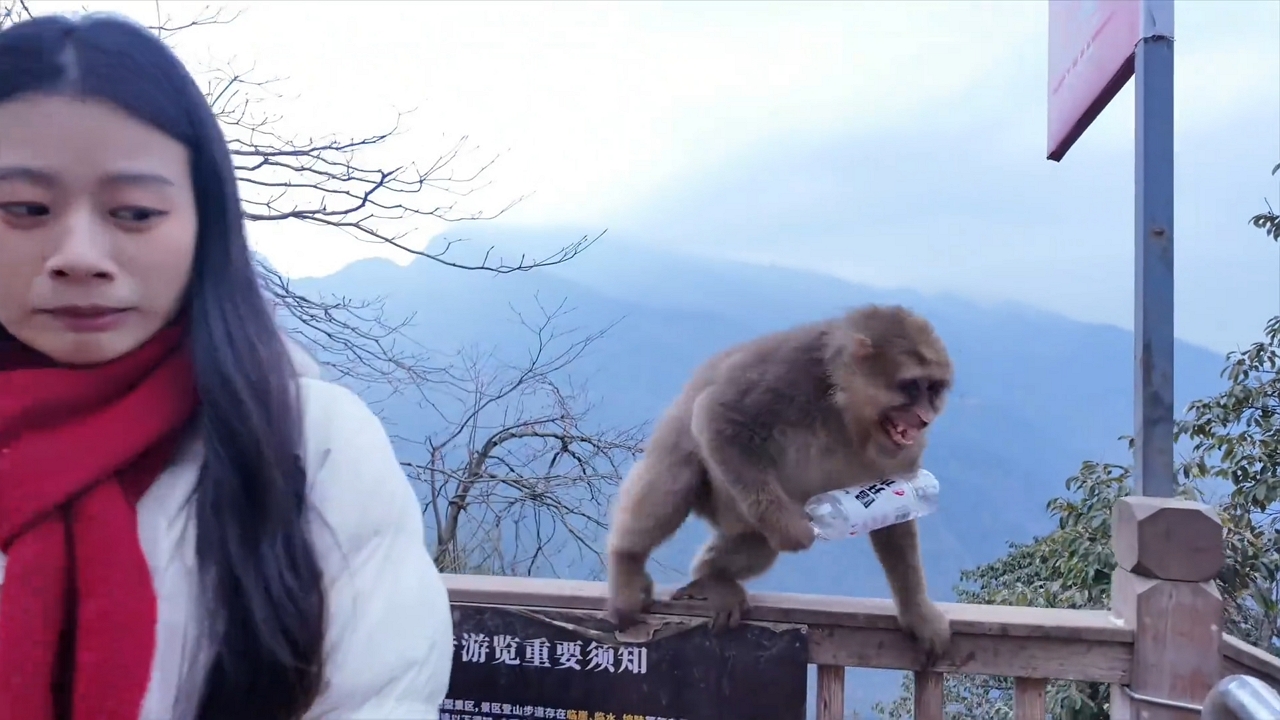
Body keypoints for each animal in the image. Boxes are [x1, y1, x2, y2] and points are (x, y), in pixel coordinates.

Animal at [604, 304, 954, 662]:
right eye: (911, 386)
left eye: (934, 389)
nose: (925, 418)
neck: (849, 415)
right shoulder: (788, 373)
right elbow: (721, 416)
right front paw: (793, 532)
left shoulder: (901, 453)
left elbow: (897, 516)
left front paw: (917, 614)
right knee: (677, 474)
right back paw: (627, 563)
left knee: (759, 543)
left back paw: (711, 577)